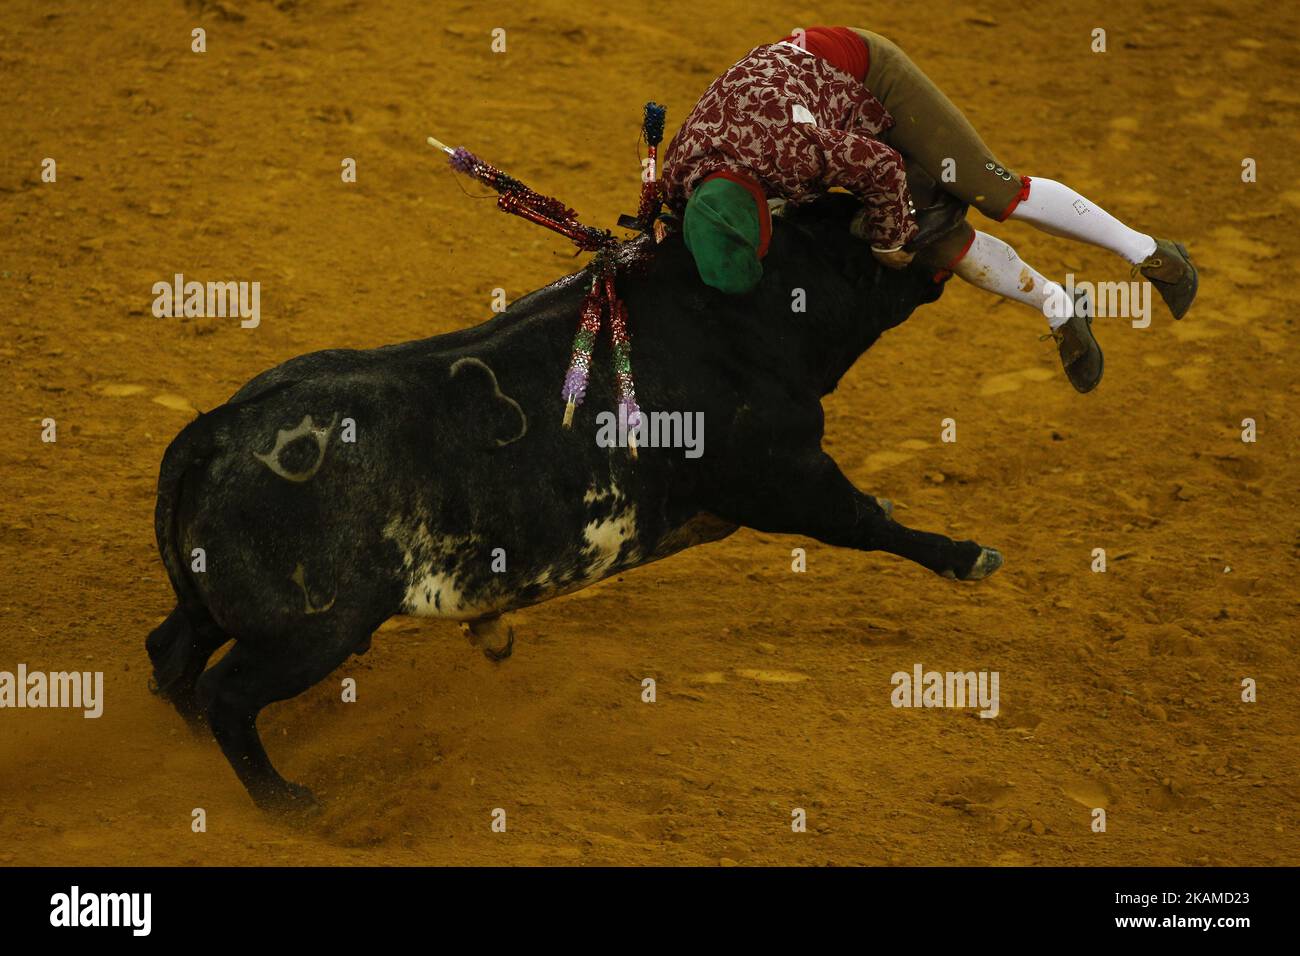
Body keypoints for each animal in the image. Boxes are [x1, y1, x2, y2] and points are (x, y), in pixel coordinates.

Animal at [145, 191, 1002, 813]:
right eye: (885, 215)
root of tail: (218, 431)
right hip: (316, 632)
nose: (954, 200)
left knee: (173, 653)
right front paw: (971, 557)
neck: (740, 312)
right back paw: (287, 803)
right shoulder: (789, 476)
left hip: (226, 605)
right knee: (226, 694)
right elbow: (869, 521)